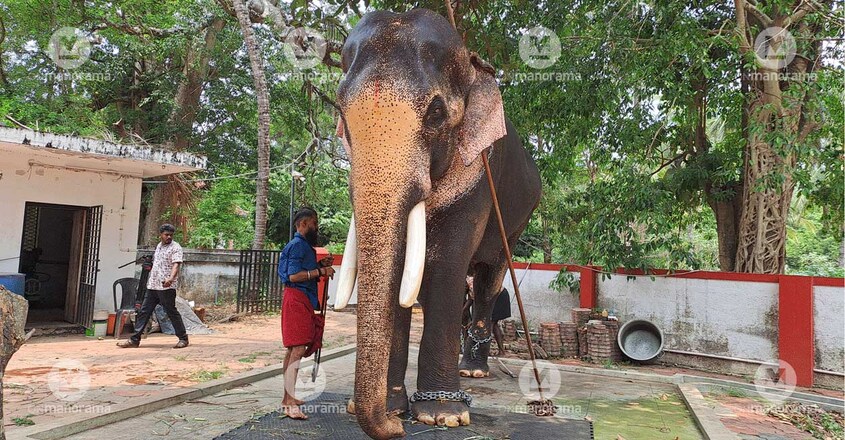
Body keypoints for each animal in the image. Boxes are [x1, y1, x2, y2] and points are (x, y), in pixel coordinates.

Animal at [331, 9, 542, 440]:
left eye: (436, 113)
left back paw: (473, 371)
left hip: (517, 219)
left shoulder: (478, 174)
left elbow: (448, 264)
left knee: (488, 279)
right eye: (341, 111)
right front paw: (395, 408)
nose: (394, 429)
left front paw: (443, 415)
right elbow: (401, 278)